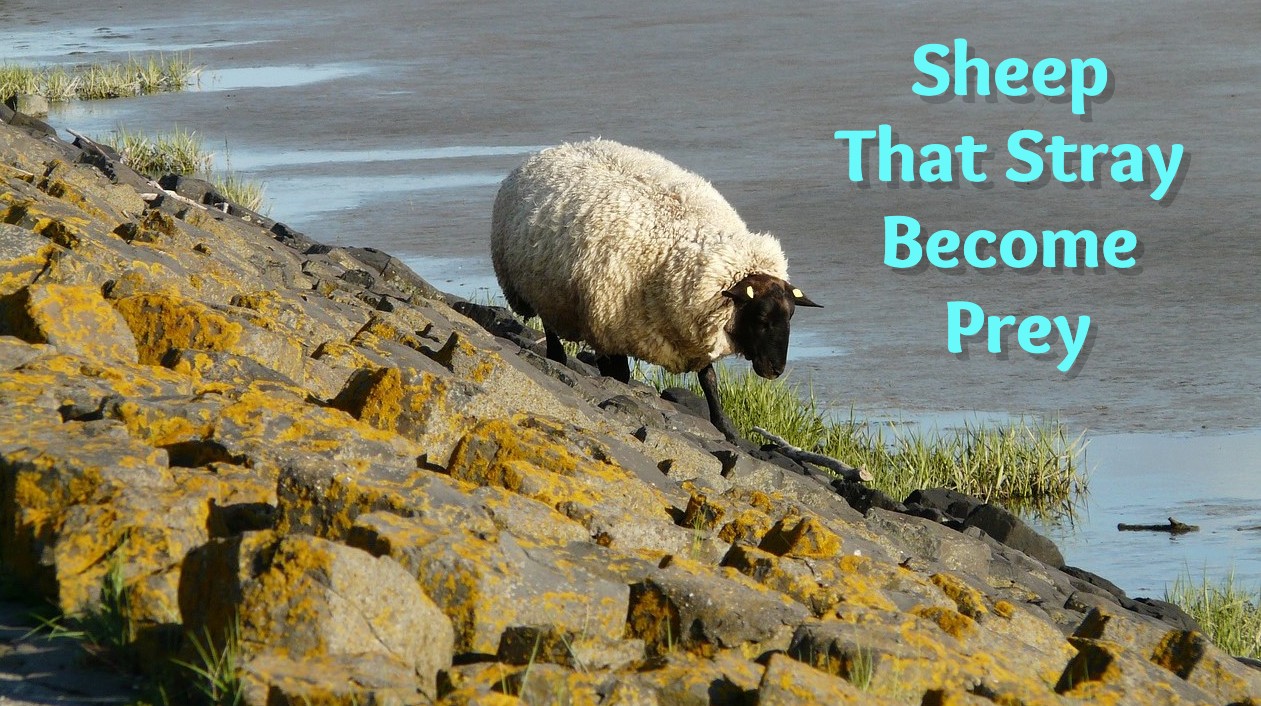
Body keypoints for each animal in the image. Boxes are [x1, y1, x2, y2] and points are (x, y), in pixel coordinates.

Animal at [490, 138, 821, 442]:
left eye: (791, 317)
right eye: (761, 318)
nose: (776, 370)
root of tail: (553, 148)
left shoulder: (693, 331)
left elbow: (709, 380)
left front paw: (725, 427)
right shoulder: (611, 325)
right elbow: (621, 374)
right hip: (543, 292)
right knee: (550, 328)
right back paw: (557, 357)